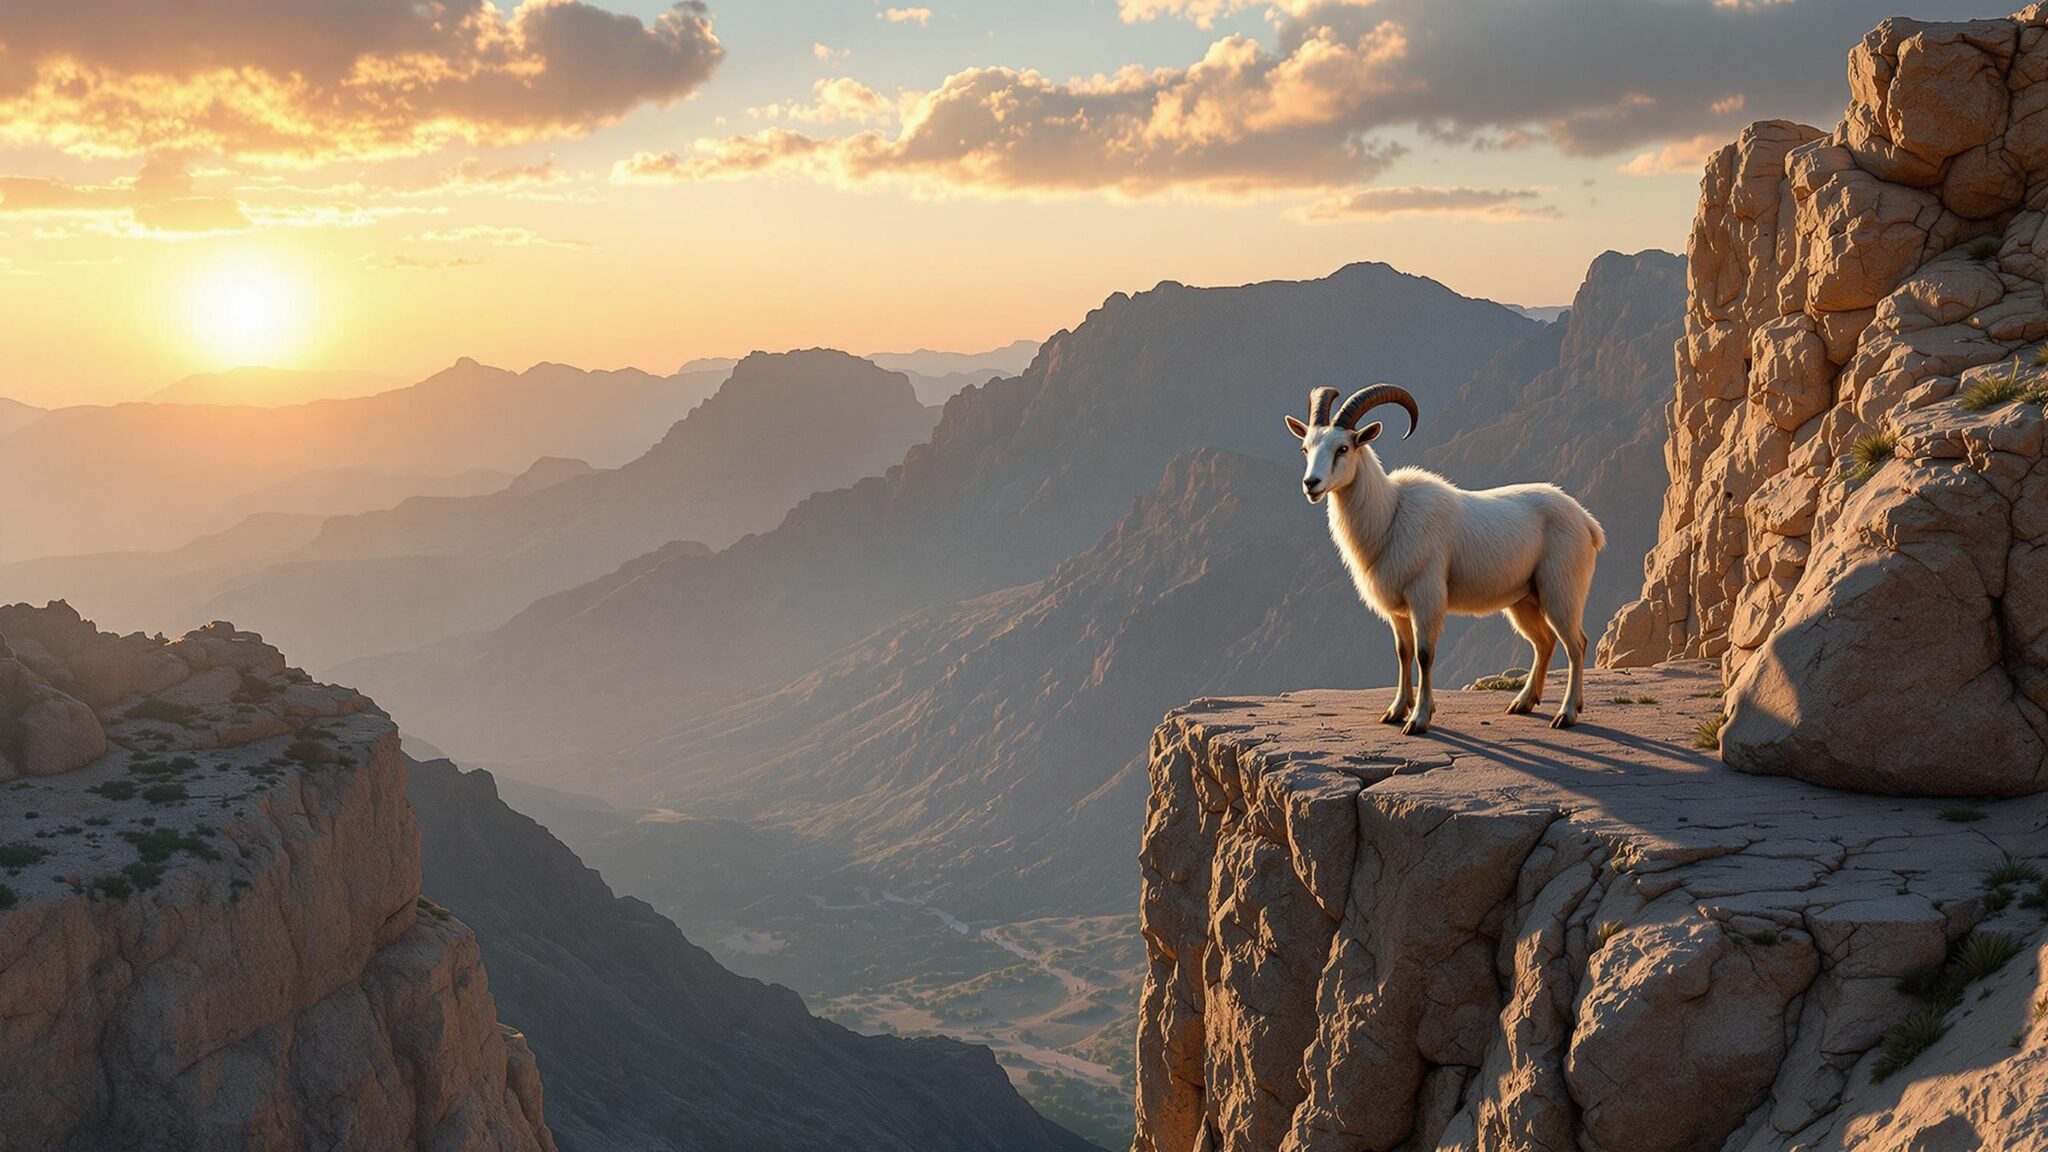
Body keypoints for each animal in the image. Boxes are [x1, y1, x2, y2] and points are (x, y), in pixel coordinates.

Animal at [1286, 385, 1604, 735]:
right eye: (1305, 448)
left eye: (1342, 448)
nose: (1311, 484)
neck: (1391, 515)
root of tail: (1587, 522)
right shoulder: (1397, 609)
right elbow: (1403, 653)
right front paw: (1395, 711)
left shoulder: (1426, 597)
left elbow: (1424, 654)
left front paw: (1419, 718)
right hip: (1524, 600)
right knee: (1544, 642)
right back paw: (1522, 703)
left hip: (1561, 591)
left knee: (1576, 644)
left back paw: (1567, 714)